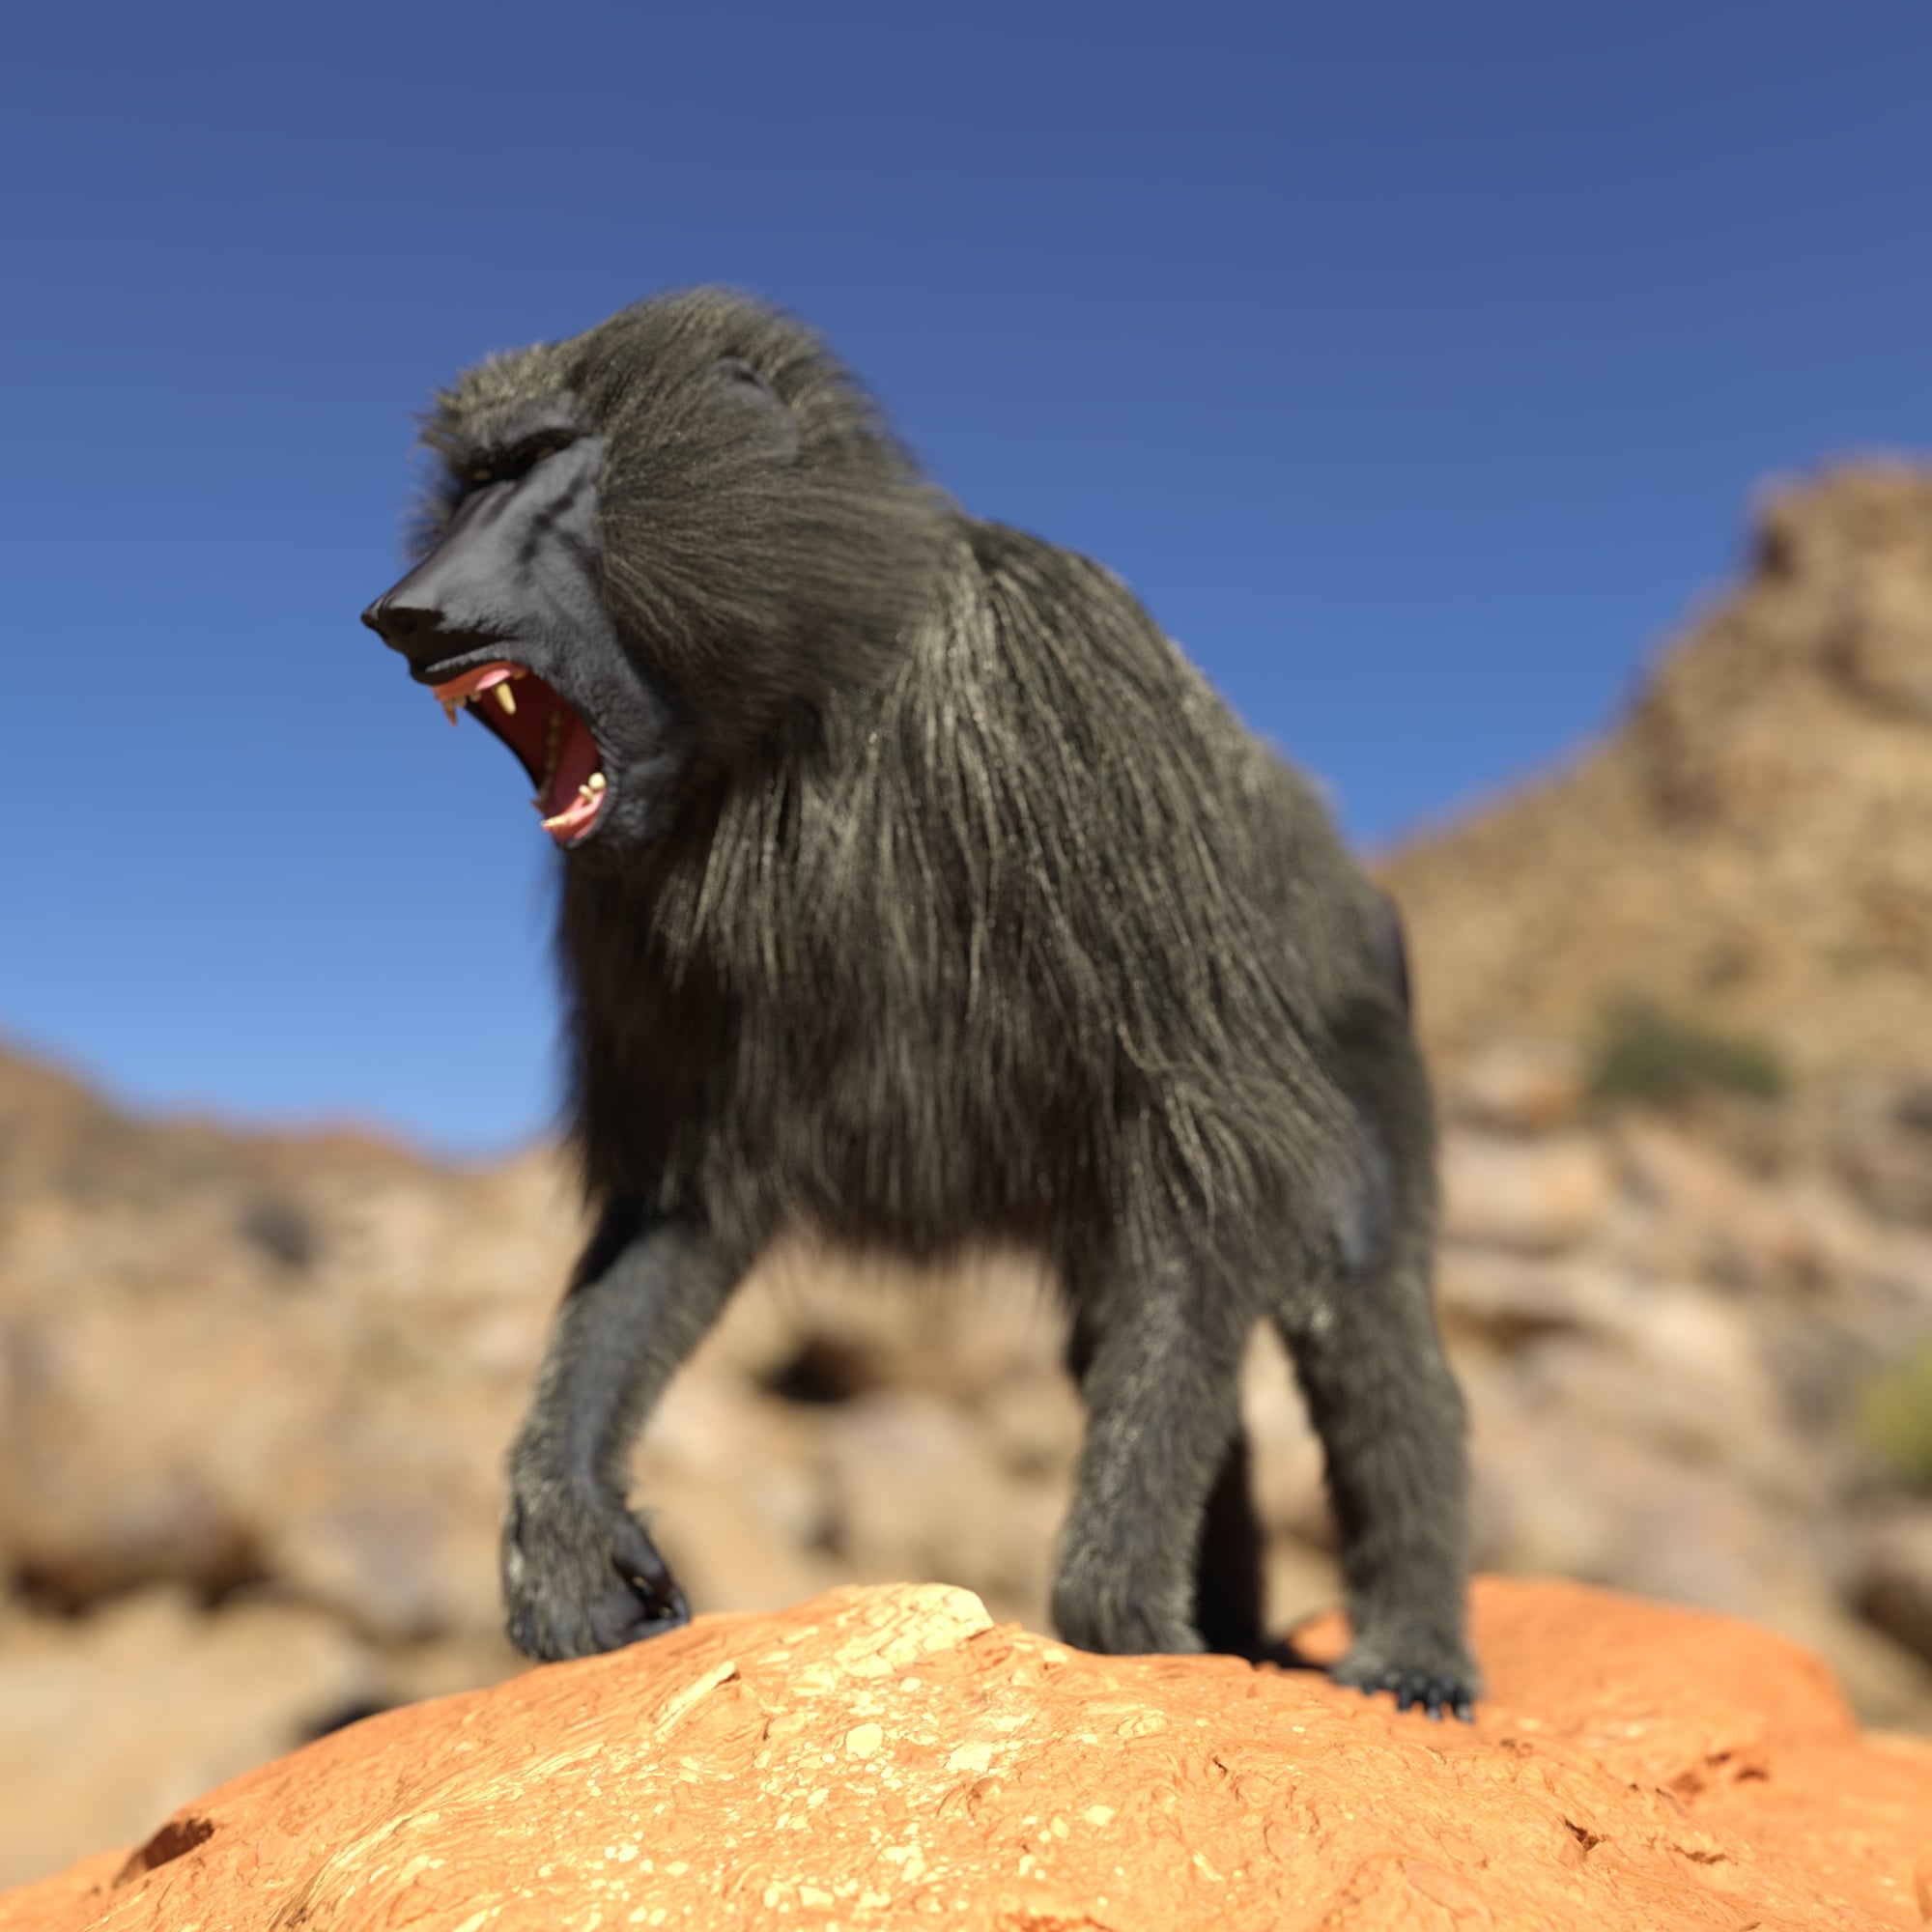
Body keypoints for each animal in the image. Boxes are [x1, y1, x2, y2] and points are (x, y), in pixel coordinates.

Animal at [361, 289, 1480, 1721]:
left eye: (546, 462)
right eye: (472, 482)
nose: (404, 610)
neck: (817, 686)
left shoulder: (1066, 676)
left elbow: (1209, 1134)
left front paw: (1123, 1608)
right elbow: (685, 1201)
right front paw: (563, 1523)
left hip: (1367, 1006)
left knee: (1345, 1287)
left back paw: (1410, 1649)